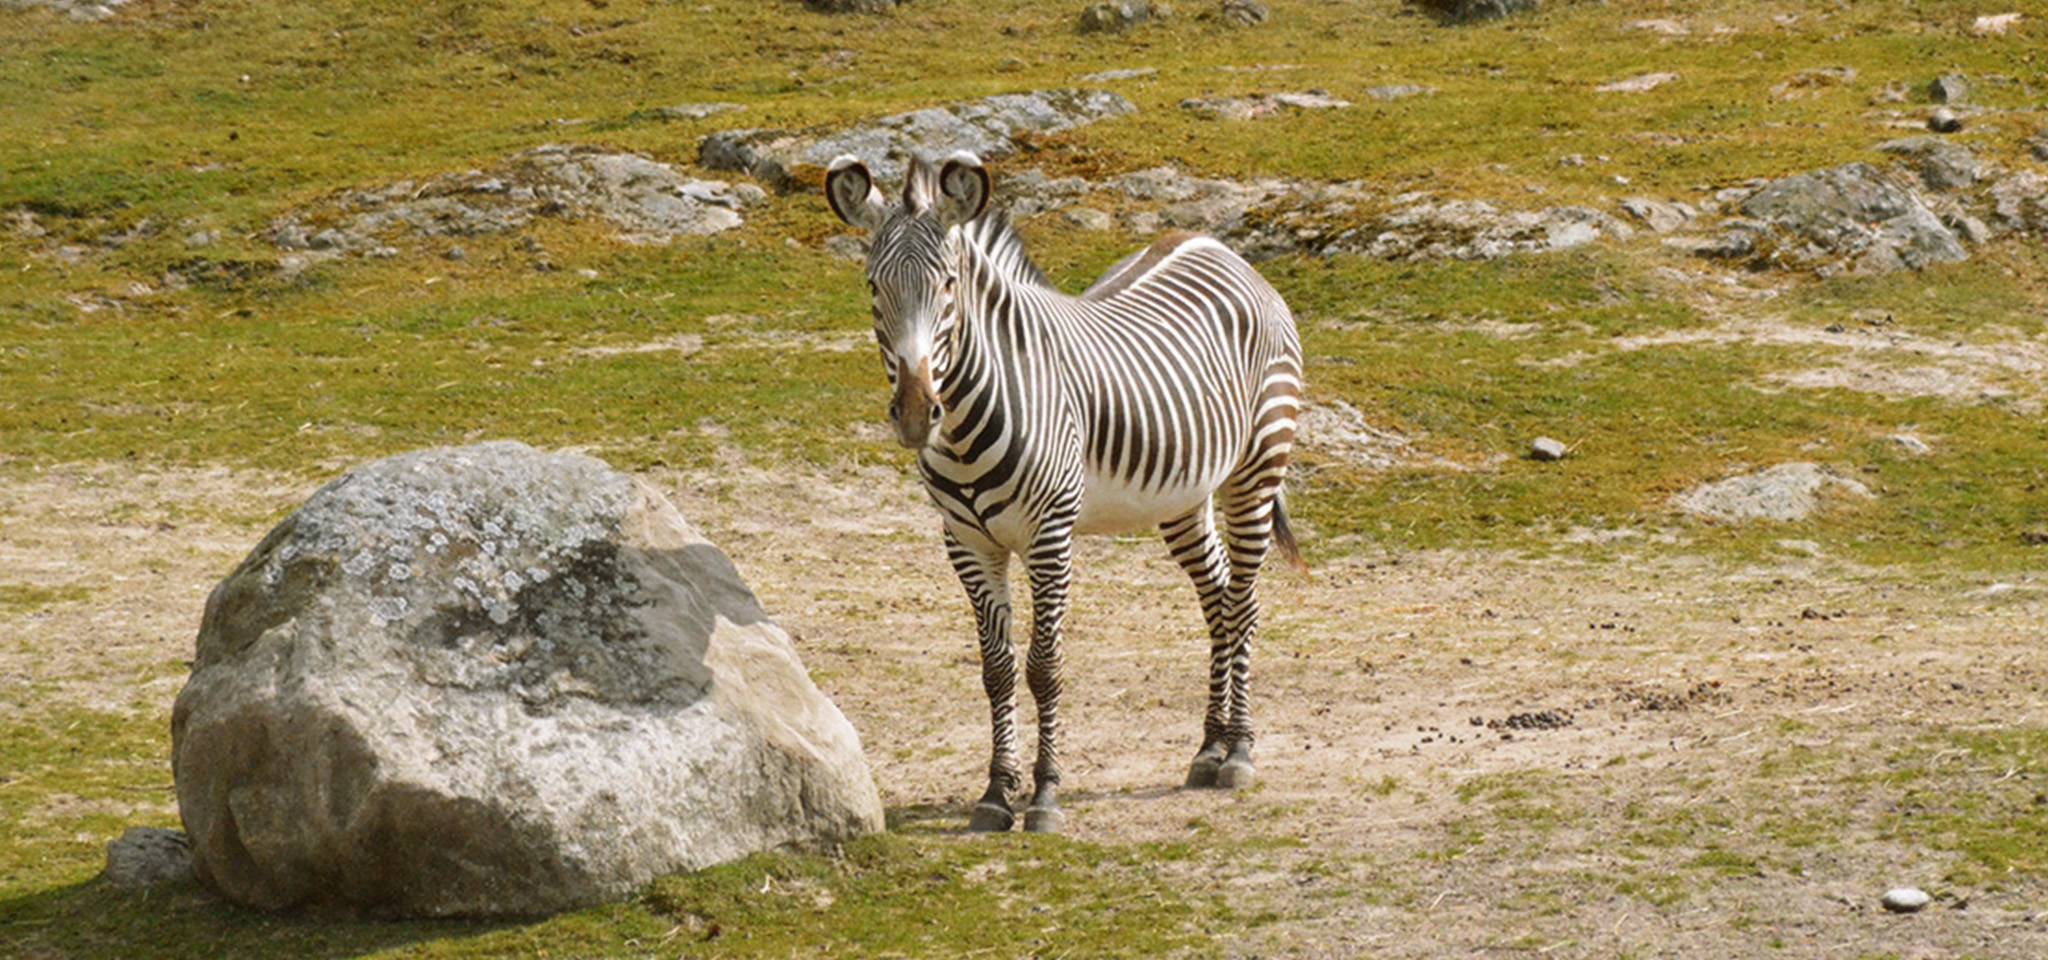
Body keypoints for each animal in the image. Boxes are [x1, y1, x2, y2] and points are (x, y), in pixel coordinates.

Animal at [825, 151, 1304, 834]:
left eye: (948, 286)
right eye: (873, 288)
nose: (917, 414)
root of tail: (1215, 245)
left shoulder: (1050, 536)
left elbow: (1044, 666)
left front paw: (1045, 793)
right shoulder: (967, 542)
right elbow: (998, 670)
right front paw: (996, 793)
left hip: (1257, 465)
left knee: (1242, 601)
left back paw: (1238, 749)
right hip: (1183, 495)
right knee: (1217, 596)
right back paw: (1209, 746)